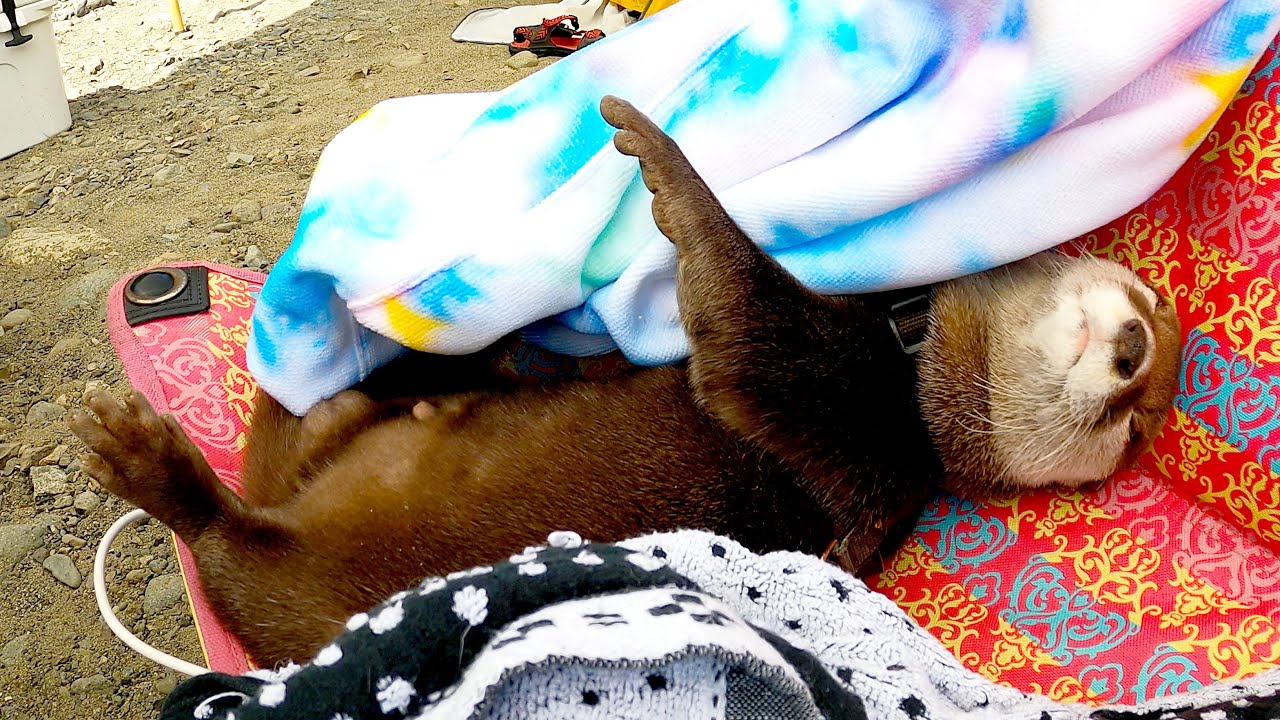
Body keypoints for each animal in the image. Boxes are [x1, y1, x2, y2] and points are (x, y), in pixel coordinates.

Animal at [68, 97, 1183, 667]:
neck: (907, 378)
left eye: (1126, 433)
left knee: (224, 544)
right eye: (1151, 306)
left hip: (283, 585)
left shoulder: (835, 408)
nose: (1134, 359)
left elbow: (737, 321)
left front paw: (653, 150)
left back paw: (144, 454)